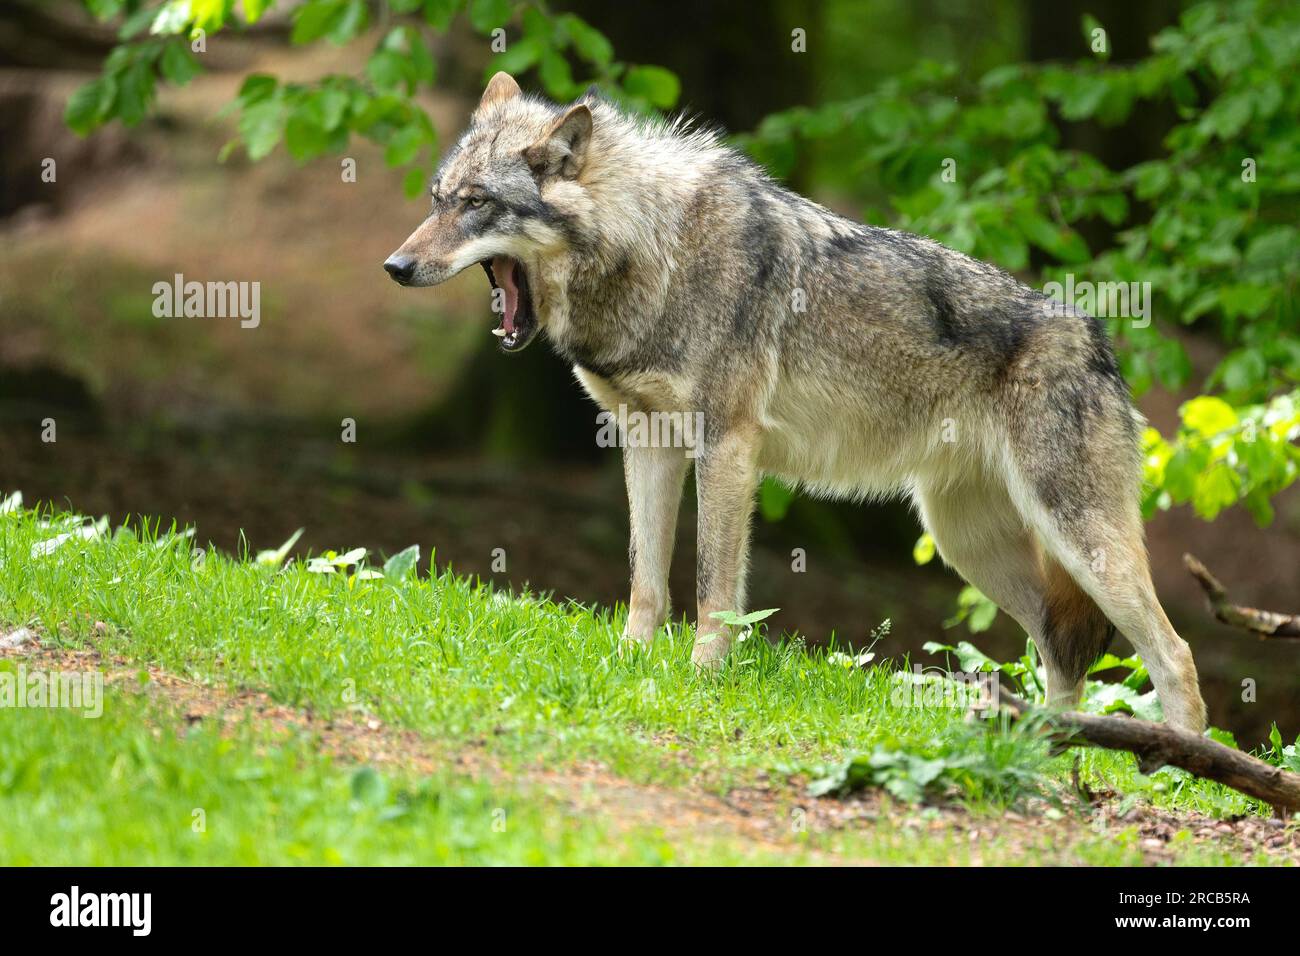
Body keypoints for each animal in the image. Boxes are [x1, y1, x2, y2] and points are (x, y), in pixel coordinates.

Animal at [384, 73, 1207, 731]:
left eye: (477, 204)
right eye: (437, 201)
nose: (394, 266)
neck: (652, 249)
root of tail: (1098, 339)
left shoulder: (727, 445)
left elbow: (713, 589)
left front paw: (701, 680)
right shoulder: (648, 441)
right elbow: (645, 580)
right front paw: (629, 665)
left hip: (1074, 537)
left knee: (1173, 653)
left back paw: (1176, 761)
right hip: (970, 545)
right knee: (1062, 653)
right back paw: (1052, 743)